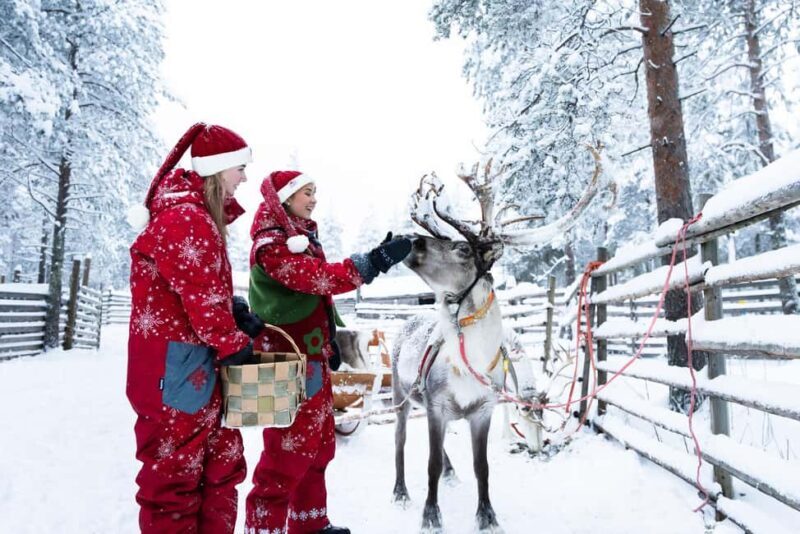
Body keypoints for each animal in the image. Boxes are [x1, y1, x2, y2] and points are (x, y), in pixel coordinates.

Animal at [391, 147, 608, 533]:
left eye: (462, 248)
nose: (412, 240)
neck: (471, 362)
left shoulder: (482, 410)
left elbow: (482, 466)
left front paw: (487, 515)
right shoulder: (436, 406)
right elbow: (429, 463)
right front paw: (430, 515)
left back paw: (451, 473)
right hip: (399, 394)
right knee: (400, 442)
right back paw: (401, 492)